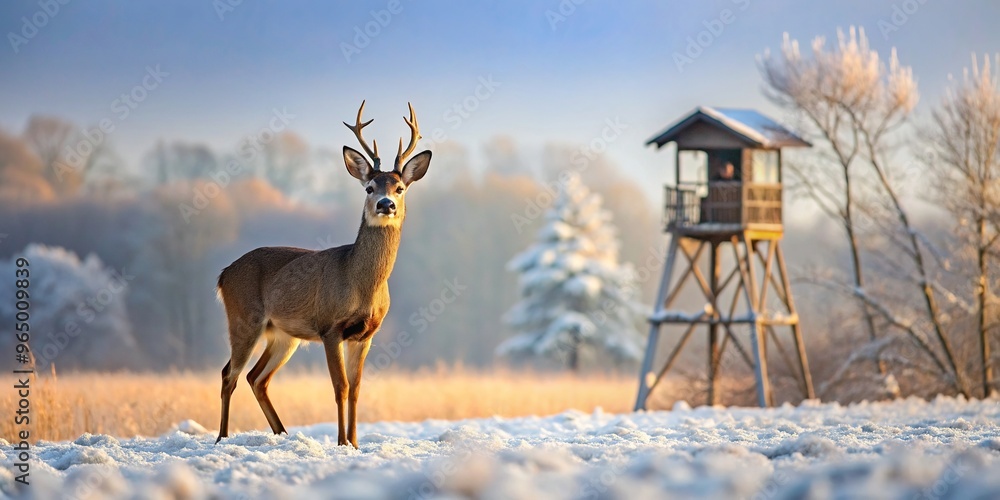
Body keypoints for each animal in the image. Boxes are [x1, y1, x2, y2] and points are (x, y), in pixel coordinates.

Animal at [214, 101, 430, 448]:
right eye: (369, 188)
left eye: (399, 188)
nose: (386, 204)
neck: (362, 284)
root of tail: (223, 274)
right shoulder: (330, 327)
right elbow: (340, 386)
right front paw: (342, 442)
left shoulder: (365, 334)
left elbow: (356, 388)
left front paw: (355, 443)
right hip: (244, 318)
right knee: (229, 374)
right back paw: (222, 438)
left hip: (282, 335)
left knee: (255, 377)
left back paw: (282, 433)